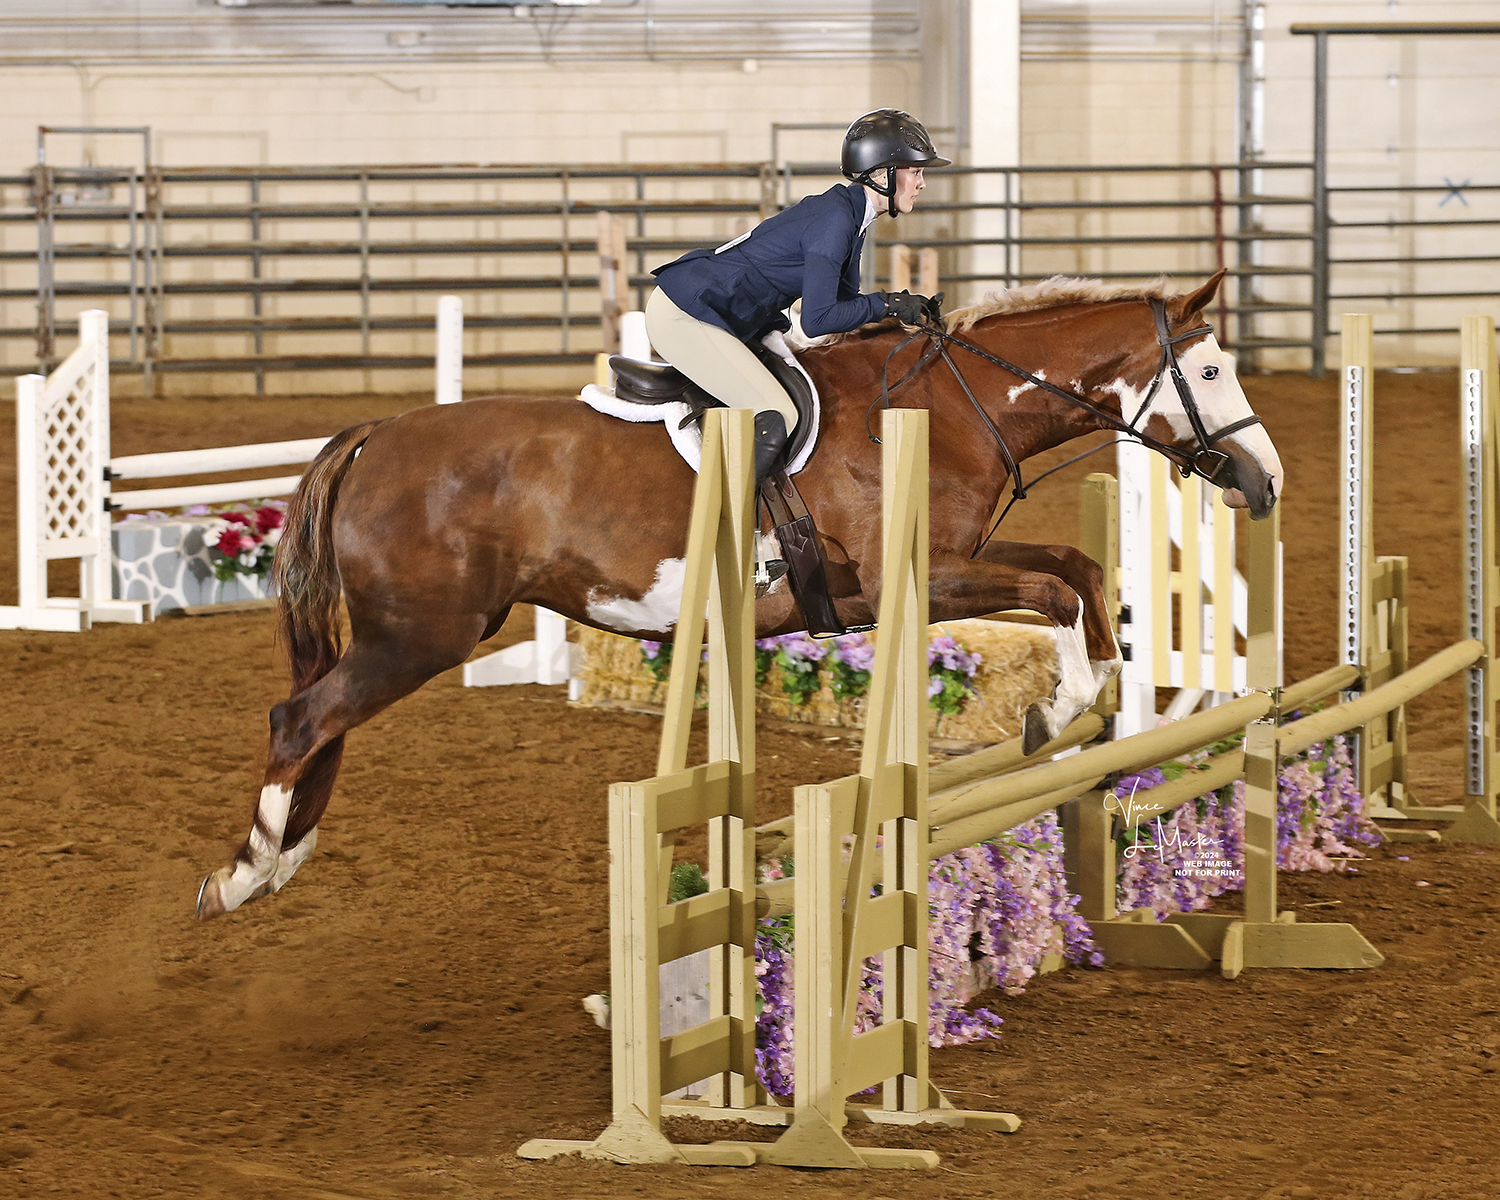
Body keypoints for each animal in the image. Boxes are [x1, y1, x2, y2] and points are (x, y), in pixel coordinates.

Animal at [195, 269, 1282, 919]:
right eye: (1212, 372)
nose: (1264, 482)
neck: (954, 405)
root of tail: (374, 434)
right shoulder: (902, 578)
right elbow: (1053, 594)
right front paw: (1062, 707)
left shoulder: (930, 569)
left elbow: (1076, 570)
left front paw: (1088, 692)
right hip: (421, 634)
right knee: (302, 717)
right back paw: (244, 874)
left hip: (411, 634)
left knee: (321, 721)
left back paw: (283, 857)